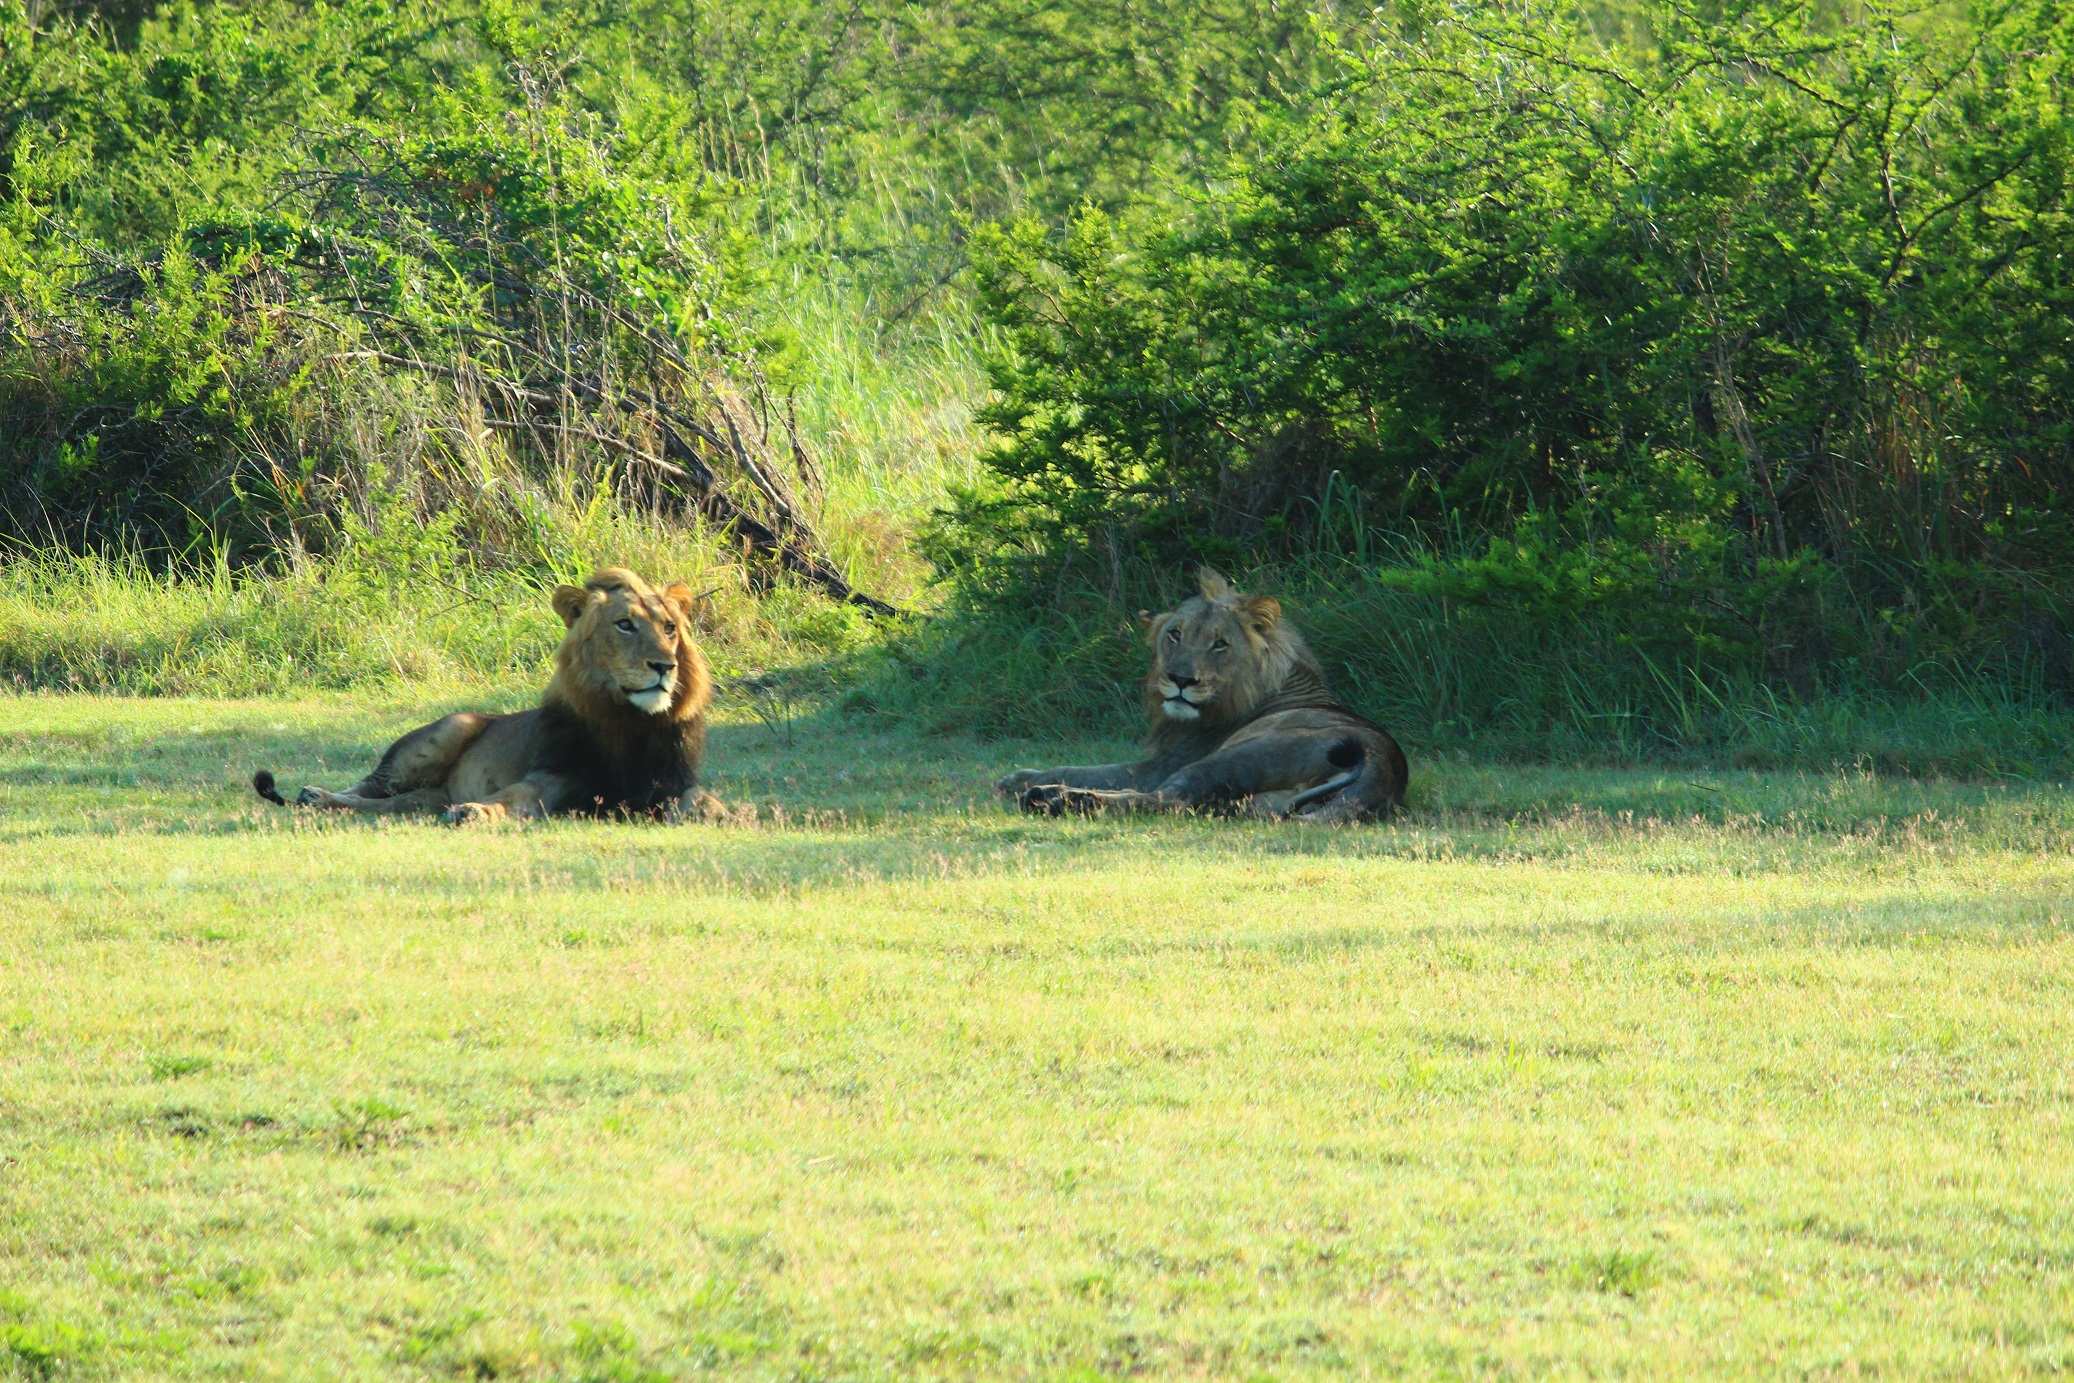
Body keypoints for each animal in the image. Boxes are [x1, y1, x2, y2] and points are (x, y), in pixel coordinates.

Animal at [251, 568, 722, 825]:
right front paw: (476, 812)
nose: (664, 666)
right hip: (447, 731)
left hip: (427, 796)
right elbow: (512, 796)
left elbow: (702, 799)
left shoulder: (671, 782)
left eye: (669, 628)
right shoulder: (553, 775)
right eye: (625, 625)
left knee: (396, 804)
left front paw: (723, 814)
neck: (628, 721)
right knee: (370, 786)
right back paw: (316, 796)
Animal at [995, 568, 1408, 822]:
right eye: (1174, 634)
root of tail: (1382, 767)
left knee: (1164, 800)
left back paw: (1054, 798)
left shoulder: (1161, 764)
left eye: (1219, 644)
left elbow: (1092, 769)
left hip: (1232, 758)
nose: (1180, 679)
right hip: (1254, 803)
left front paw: (1018, 779)